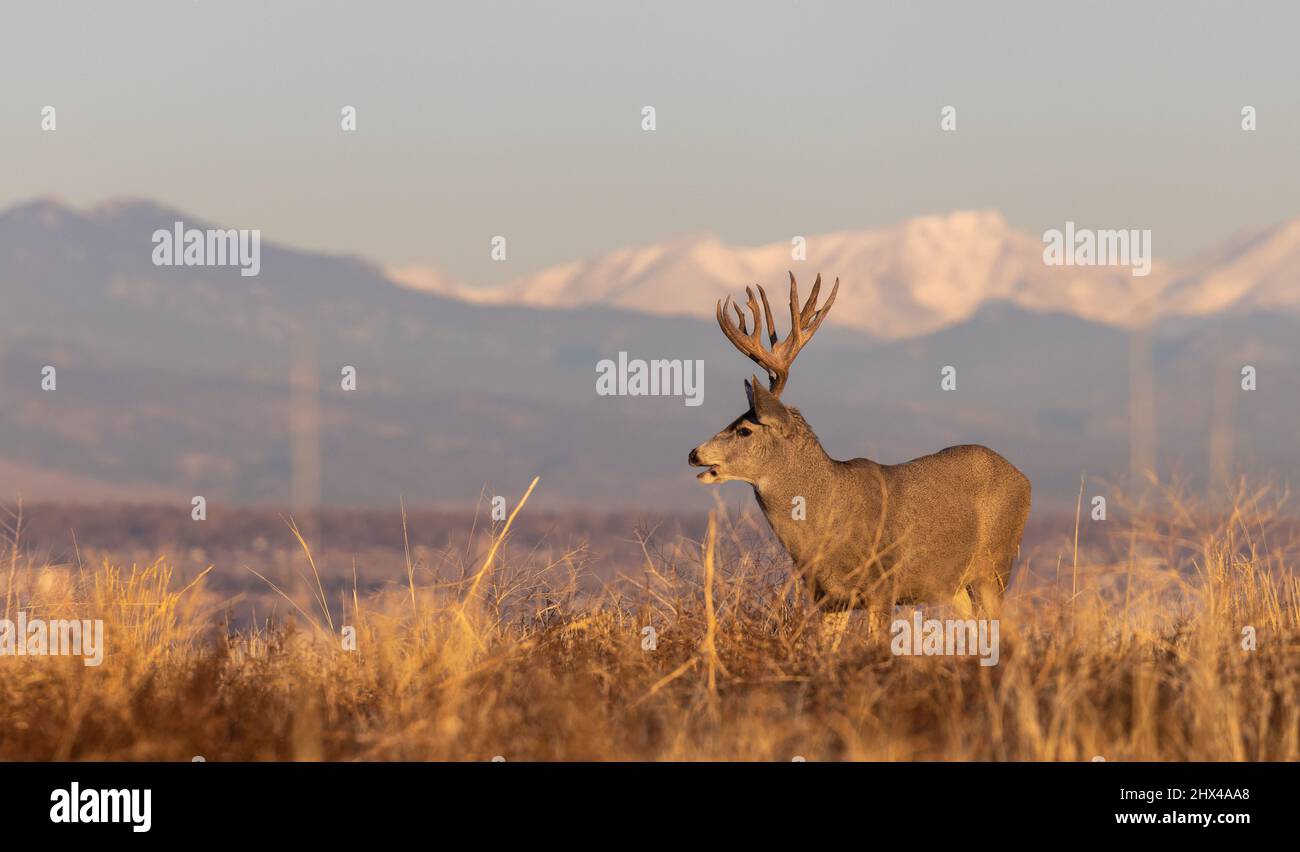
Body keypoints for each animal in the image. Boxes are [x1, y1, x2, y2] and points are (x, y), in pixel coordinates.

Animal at [688, 273, 1031, 635]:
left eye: (744, 430)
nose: (694, 453)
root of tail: (1024, 479)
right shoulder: (827, 597)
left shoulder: (884, 585)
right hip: (955, 586)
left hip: (996, 566)